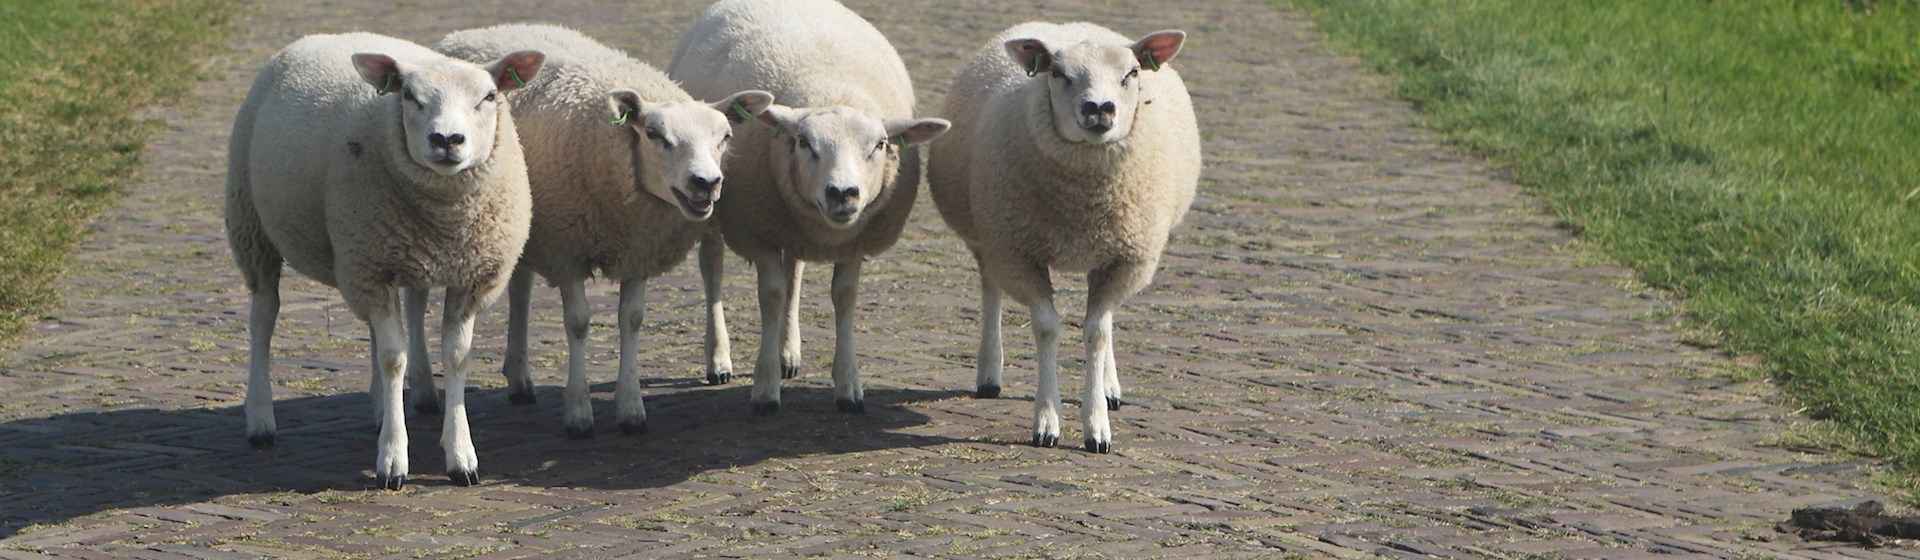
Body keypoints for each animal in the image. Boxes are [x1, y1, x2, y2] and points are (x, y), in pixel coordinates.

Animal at [226, 32, 543, 489]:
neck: (445, 218)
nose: (447, 140)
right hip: (253, 225)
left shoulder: (464, 275)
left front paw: (461, 457)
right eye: (410, 96)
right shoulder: (373, 269)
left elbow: (455, 356)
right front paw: (393, 460)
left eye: (488, 96)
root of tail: (328, 36)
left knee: (375, 332)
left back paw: (378, 409)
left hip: (367, 257)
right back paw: (260, 420)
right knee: (264, 317)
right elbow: (395, 359)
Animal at [430, 23, 772, 438]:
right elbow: (578, 324)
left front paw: (631, 408)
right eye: (655, 134)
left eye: (725, 137)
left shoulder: (638, 249)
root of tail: (475, 30)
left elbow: (632, 319)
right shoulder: (567, 249)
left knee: (521, 288)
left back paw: (520, 378)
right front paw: (579, 413)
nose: (706, 183)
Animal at [668, 0, 950, 415]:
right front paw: (765, 389)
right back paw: (718, 359)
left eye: (880, 144)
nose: (843, 193)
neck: (833, 88)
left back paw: (789, 353)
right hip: (706, 198)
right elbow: (770, 296)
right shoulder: (760, 231)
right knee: (712, 268)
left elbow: (843, 296)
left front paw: (848, 386)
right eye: (804, 142)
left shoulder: (853, 238)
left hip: (790, 225)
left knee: (794, 273)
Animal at [926, 22, 1199, 453]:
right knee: (990, 289)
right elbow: (1047, 329)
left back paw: (1110, 387)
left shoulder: (1123, 258)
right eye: (1058, 73)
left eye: (1132, 73)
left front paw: (1097, 425)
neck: (1083, 203)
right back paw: (989, 373)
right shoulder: (1016, 251)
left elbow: (1097, 333)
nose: (1099, 108)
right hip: (989, 236)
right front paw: (1047, 422)